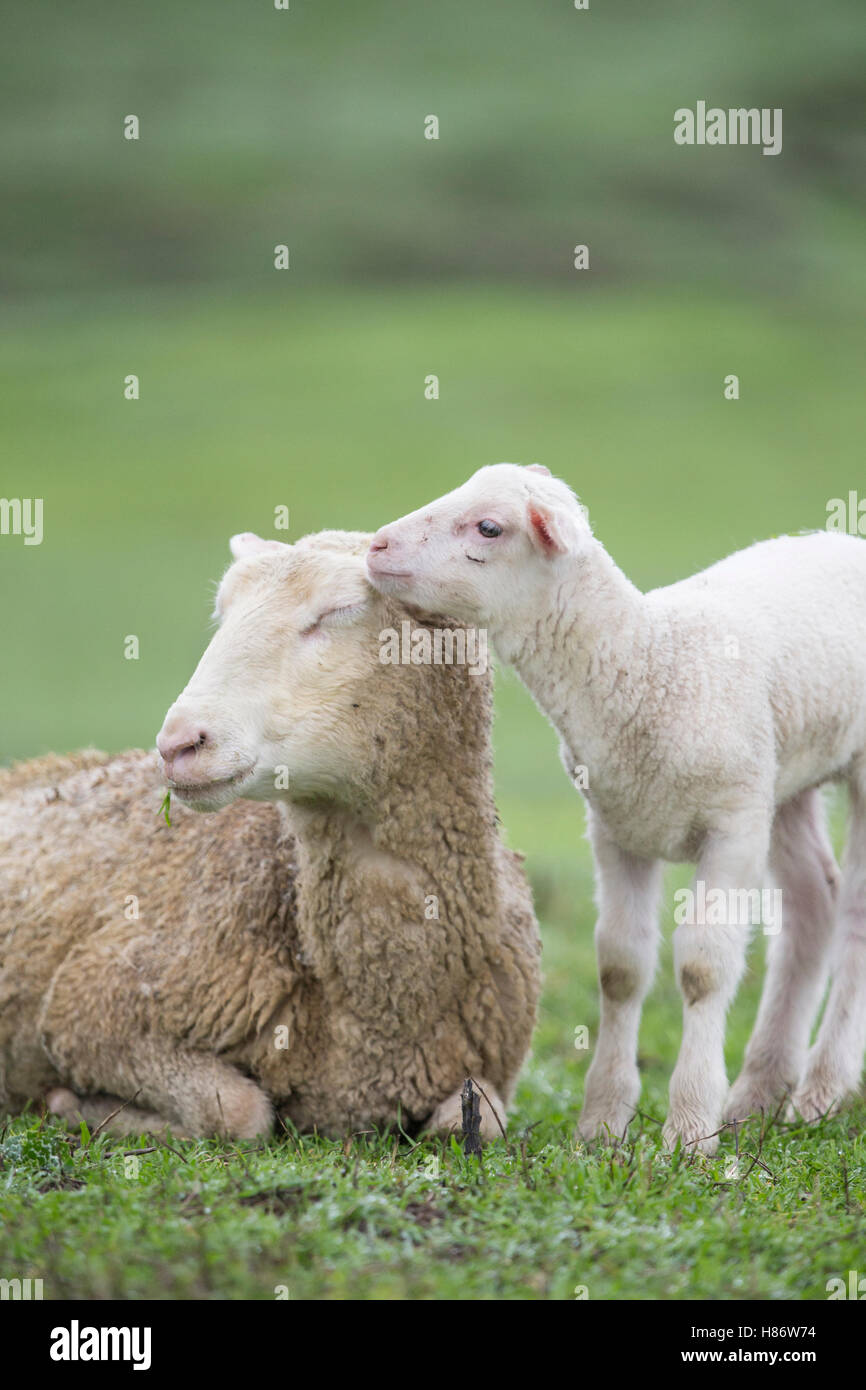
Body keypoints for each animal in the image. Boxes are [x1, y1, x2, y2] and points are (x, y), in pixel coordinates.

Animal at [0, 529, 541, 1140]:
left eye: (337, 611)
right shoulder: (88, 1010)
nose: (178, 744)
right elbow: (241, 1112)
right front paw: (78, 1106)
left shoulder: (490, 1065)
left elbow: (475, 1121)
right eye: (223, 612)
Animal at [366, 462, 866, 1153]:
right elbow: (620, 967)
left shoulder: (732, 824)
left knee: (853, 914)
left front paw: (690, 1130)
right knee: (812, 901)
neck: (649, 664)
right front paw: (603, 1122)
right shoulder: (617, 826)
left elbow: (703, 969)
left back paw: (823, 1087)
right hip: (785, 775)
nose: (375, 546)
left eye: (489, 527)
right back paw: (759, 1096)